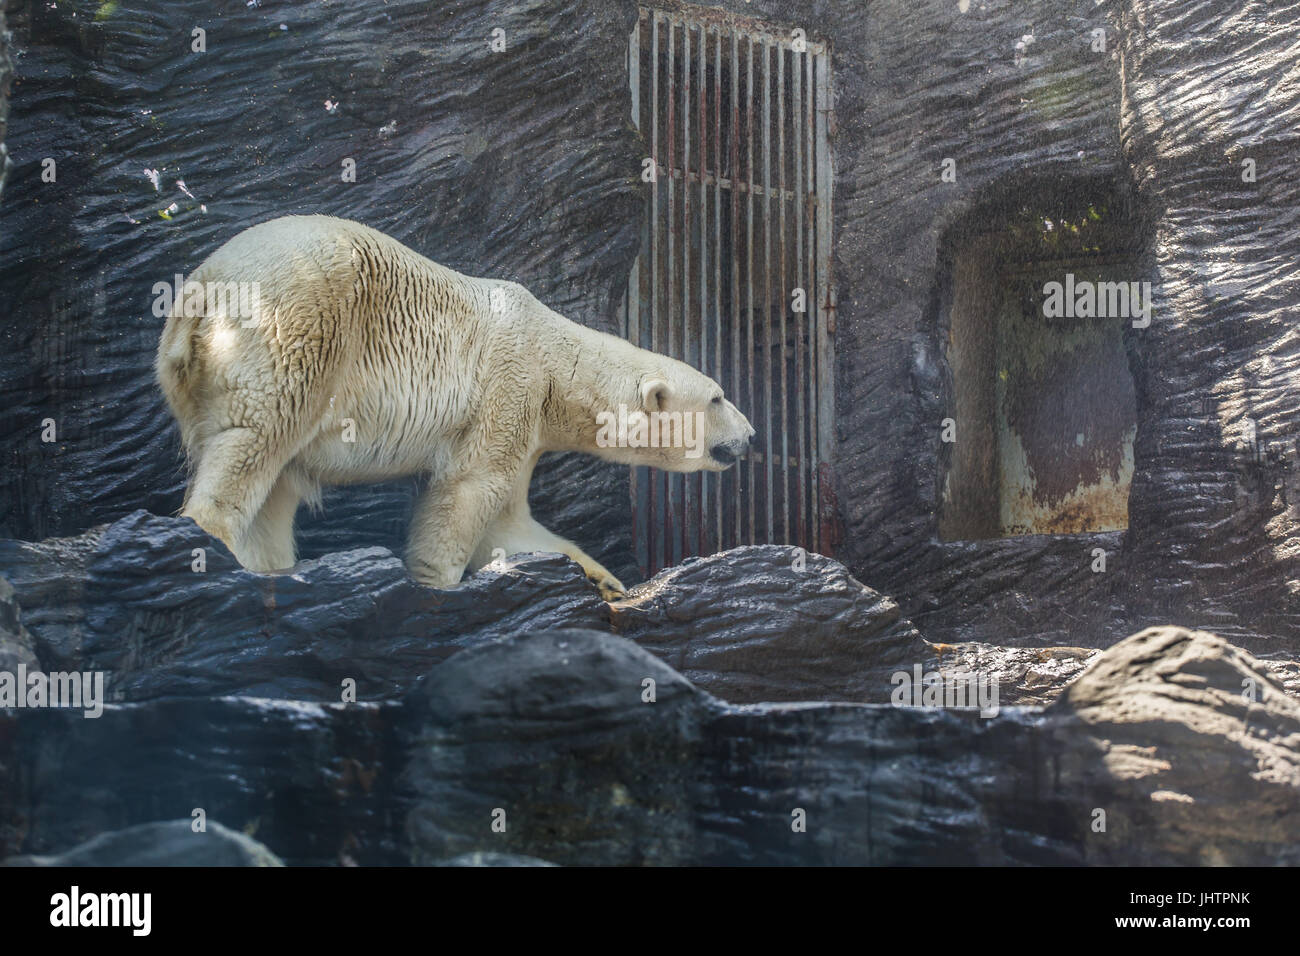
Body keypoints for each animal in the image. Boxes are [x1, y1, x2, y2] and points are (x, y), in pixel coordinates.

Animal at [155, 215, 755, 600]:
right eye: (719, 396)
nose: (750, 435)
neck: (555, 358)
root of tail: (199, 290)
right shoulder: (509, 385)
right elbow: (469, 489)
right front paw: (439, 584)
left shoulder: (528, 423)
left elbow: (511, 522)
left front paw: (606, 580)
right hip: (299, 318)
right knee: (256, 436)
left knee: (278, 480)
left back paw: (272, 566)